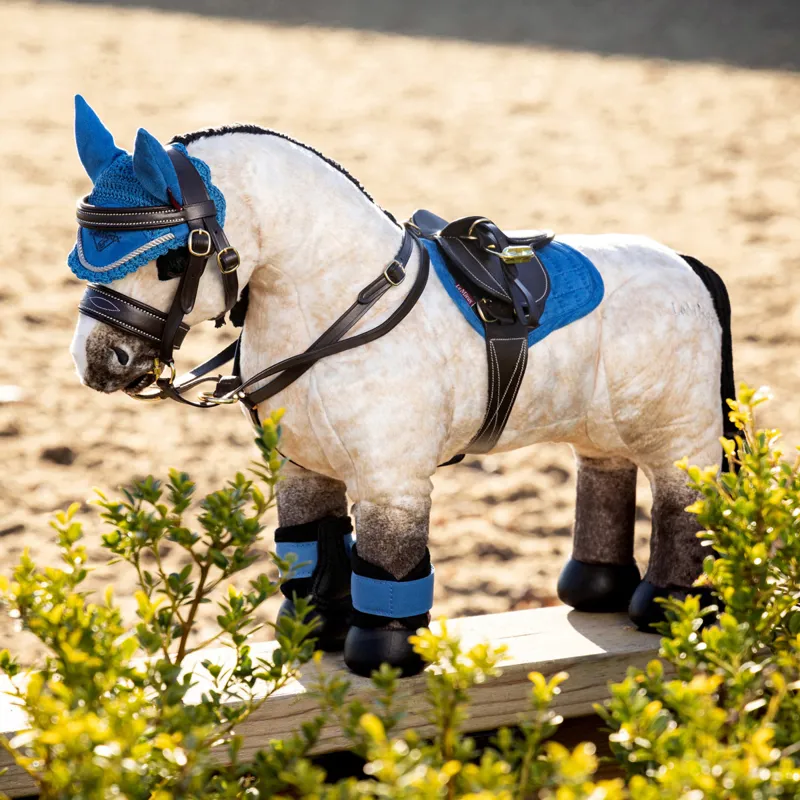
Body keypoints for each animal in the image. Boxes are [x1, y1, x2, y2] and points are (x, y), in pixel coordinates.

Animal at [68, 96, 734, 677]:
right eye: (82, 252)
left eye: (172, 259)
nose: (97, 361)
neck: (339, 305)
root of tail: (684, 262)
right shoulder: (302, 469)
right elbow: (314, 547)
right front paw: (315, 631)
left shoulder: (392, 483)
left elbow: (388, 565)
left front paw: (382, 658)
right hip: (603, 426)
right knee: (605, 473)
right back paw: (595, 588)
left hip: (681, 435)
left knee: (682, 502)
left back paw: (672, 605)